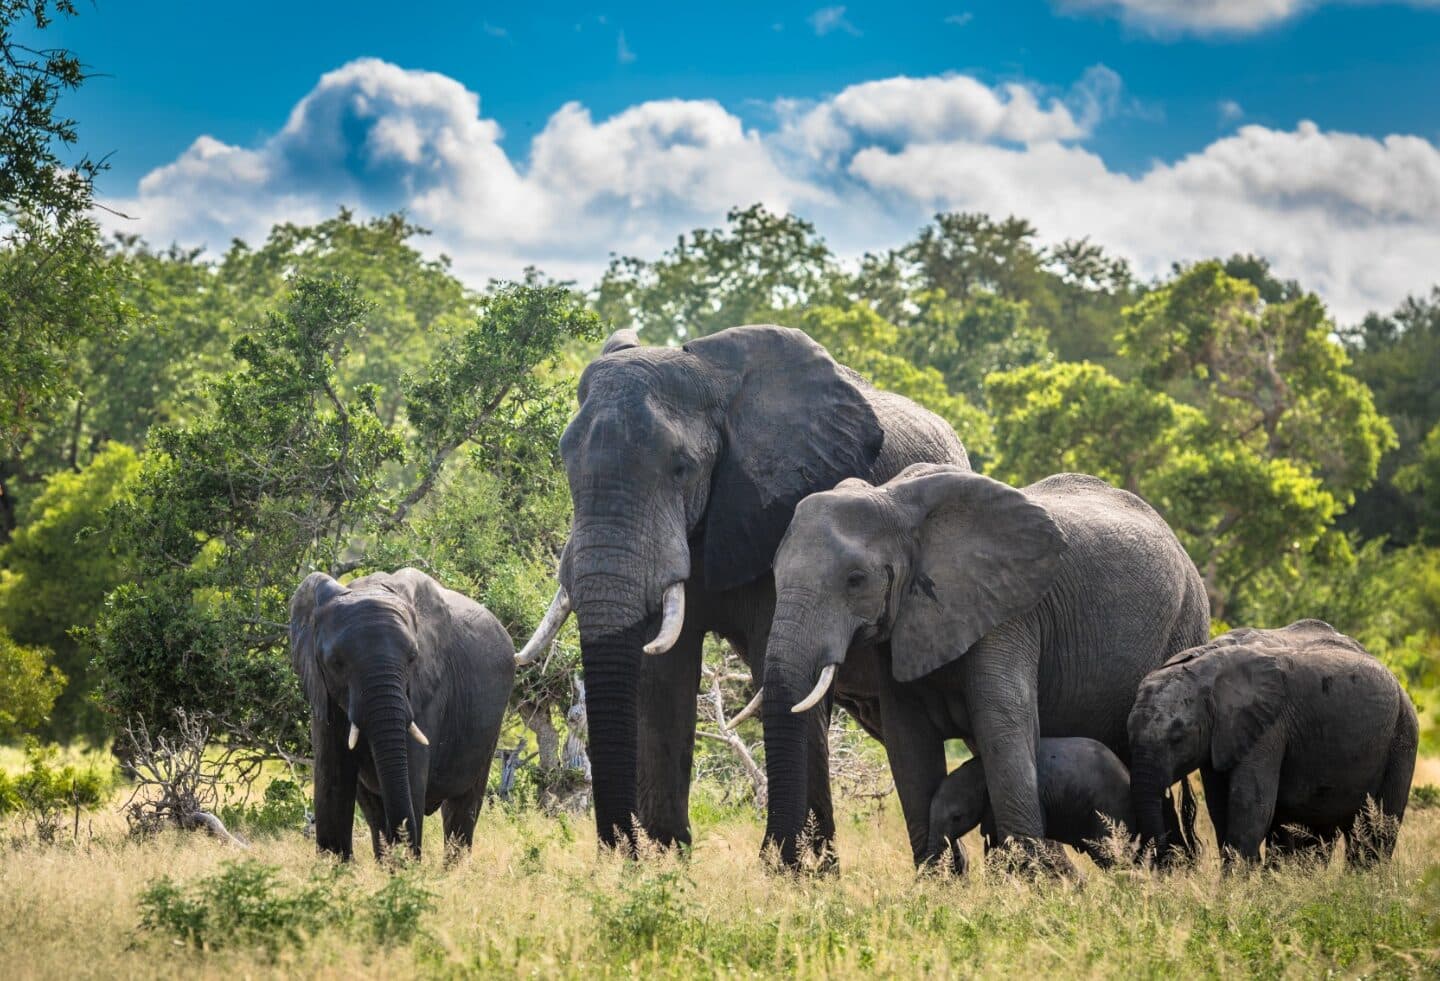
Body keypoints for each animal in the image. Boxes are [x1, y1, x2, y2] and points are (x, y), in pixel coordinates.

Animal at [289, 568, 515, 859]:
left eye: (412, 657)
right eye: (335, 663)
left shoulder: (427, 689)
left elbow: (411, 776)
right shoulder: (321, 691)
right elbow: (332, 781)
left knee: (461, 809)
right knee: (375, 813)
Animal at [516, 325, 968, 859]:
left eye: (682, 467)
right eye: (566, 462)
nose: (620, 849)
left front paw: (796, 868)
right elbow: (662, 677)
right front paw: (664, 863)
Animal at [1127, 619, 1419, 868]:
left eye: (1178, 738)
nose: (1159, 857)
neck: (1205, 664)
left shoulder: (1268, 727)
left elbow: (1250, 806)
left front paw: (1234, 886)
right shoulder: (1221, 737)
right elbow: (1220, 805)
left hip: (1402, 736)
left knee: (1376, 830)